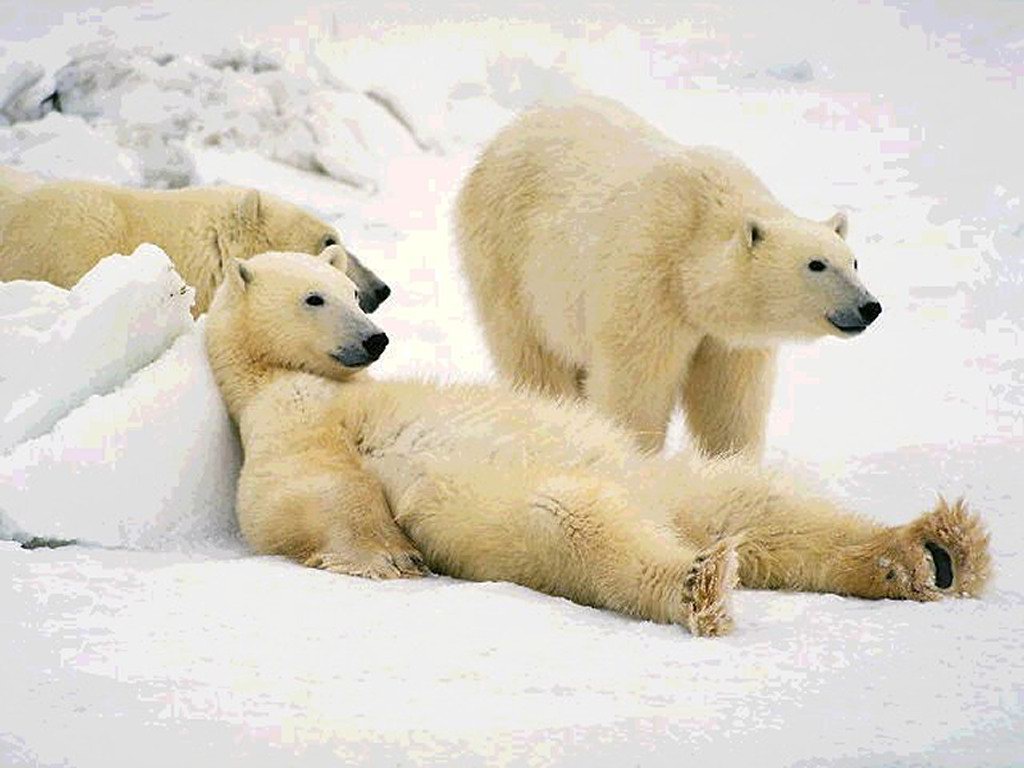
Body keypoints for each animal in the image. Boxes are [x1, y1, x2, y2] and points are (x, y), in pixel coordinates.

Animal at [204, 248, 990, 637]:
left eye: (351, 293)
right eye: (315, 297)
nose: (374, 338)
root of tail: (668, 516)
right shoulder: (283, 416)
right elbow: (302, 491)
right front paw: (389, 558)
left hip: (668, 479)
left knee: (761, 507)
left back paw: (933, 551)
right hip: (523, 510)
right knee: (575, 524)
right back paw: (700, 582)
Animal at [455, 96, 882, 457]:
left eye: (854, 261)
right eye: (816, 264)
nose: (869, 306)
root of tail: (508, 131)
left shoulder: (728, 339)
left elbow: (729, 400)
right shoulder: (648, 280)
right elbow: (636, 386)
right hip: (508, 259)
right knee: (533, 357)